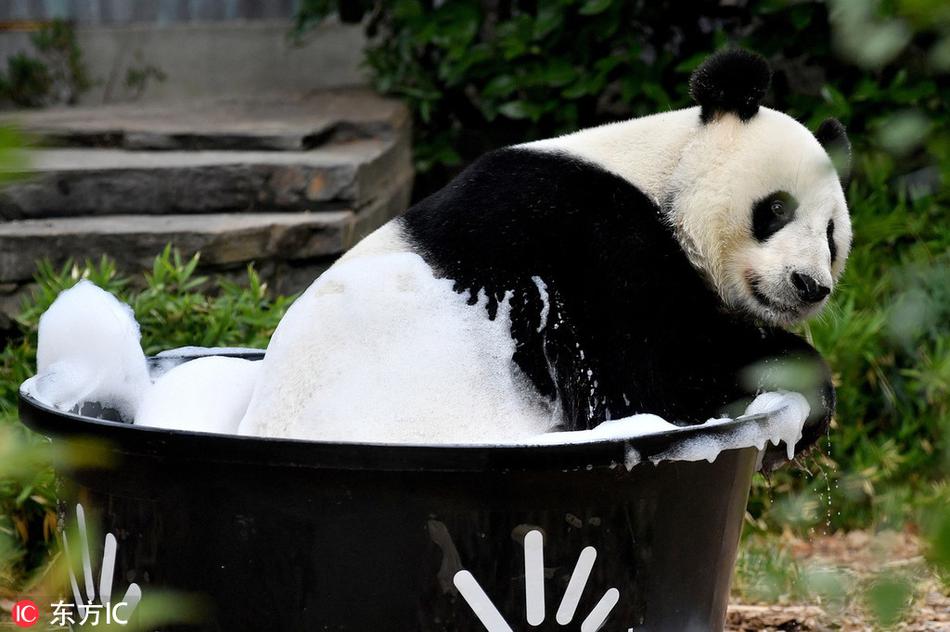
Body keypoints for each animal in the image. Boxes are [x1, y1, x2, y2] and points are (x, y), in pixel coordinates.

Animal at [240, 49, 856, 470]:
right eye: (776, 208)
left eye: (831, 237)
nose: (809, 285)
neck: (659, 170)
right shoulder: (584, 234)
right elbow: (652, 375)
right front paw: (805, 386)